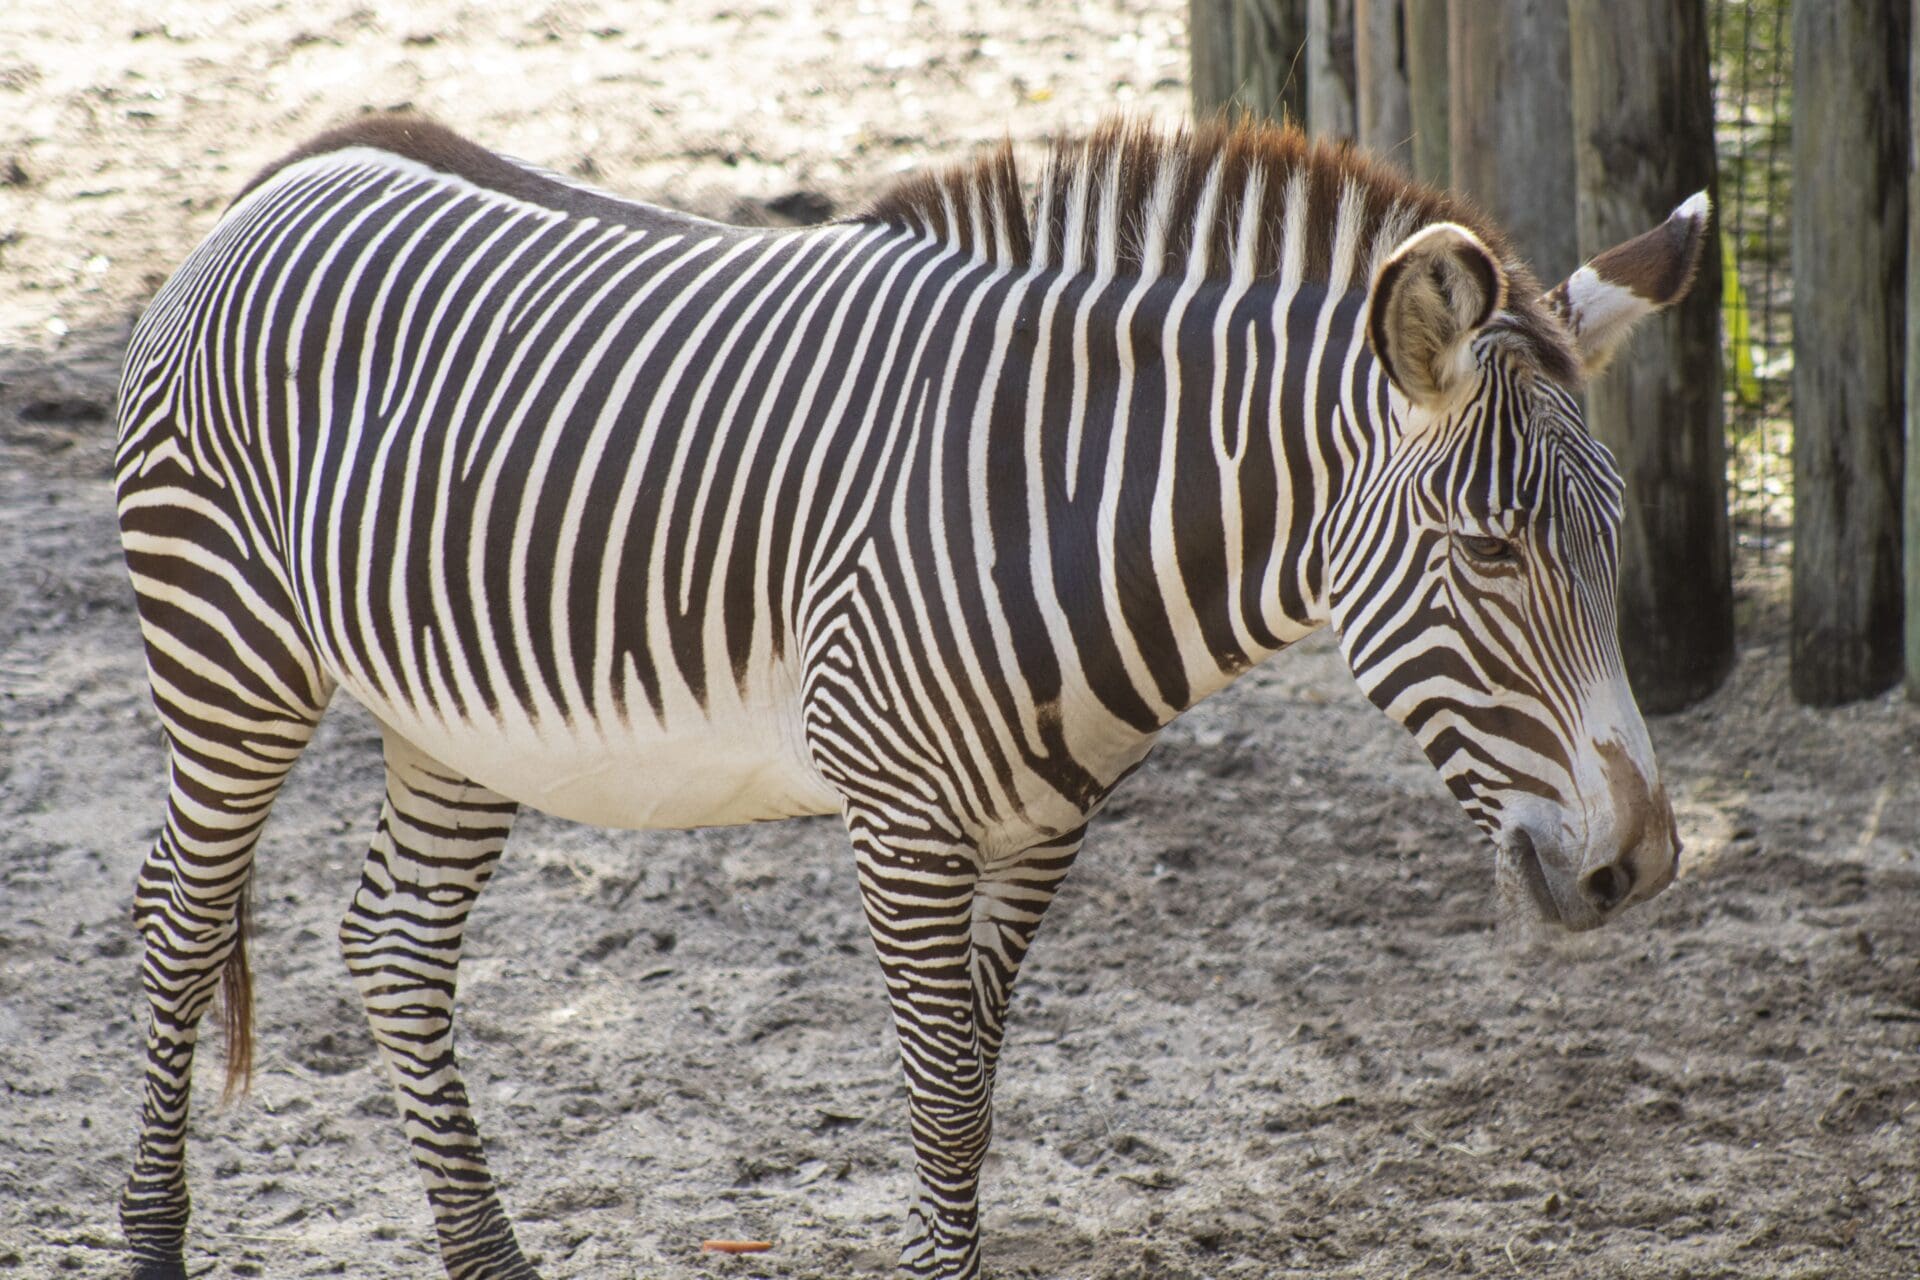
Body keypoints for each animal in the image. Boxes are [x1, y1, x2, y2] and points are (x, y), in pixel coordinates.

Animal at [113, 113, 1704, 1279]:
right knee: (178, 924)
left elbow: (978, 1090)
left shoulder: (1044, 826)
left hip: (448, 714)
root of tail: (284, 179)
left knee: (394, 944)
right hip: (231, 656)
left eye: (1612, 533)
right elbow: (939, 1099)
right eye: (1488, 551)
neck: (1059, 511)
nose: (1638, 864)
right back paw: (153, 1241)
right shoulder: (902, 815)